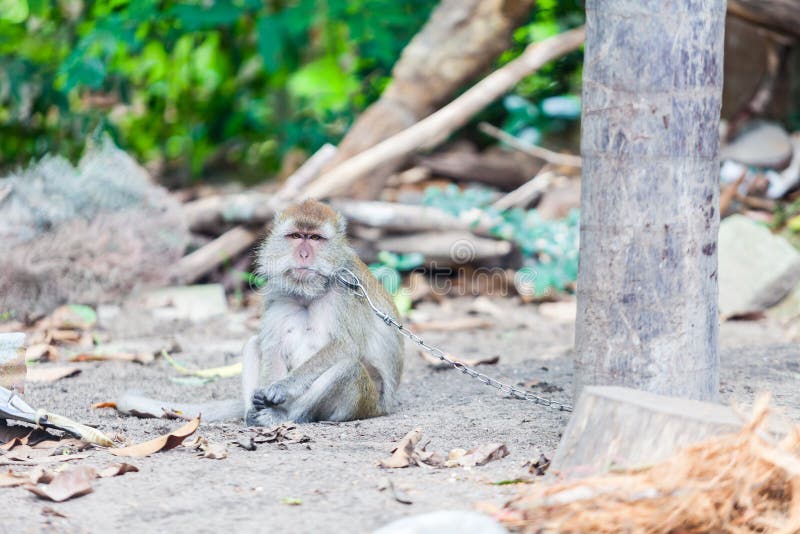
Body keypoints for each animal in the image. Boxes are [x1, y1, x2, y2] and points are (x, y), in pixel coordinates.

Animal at [116, 199, 404, 426]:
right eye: (296, 236)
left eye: (315, 239)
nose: (303, 254)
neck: (309, 293)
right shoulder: (277, 296)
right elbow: (271, 346)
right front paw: (264, 396)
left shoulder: (347, 292)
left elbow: (347, 346)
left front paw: (281, 389)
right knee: (255, 344)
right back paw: (252, 413)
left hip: (366, 405)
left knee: (348, 367)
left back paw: (283, 416)